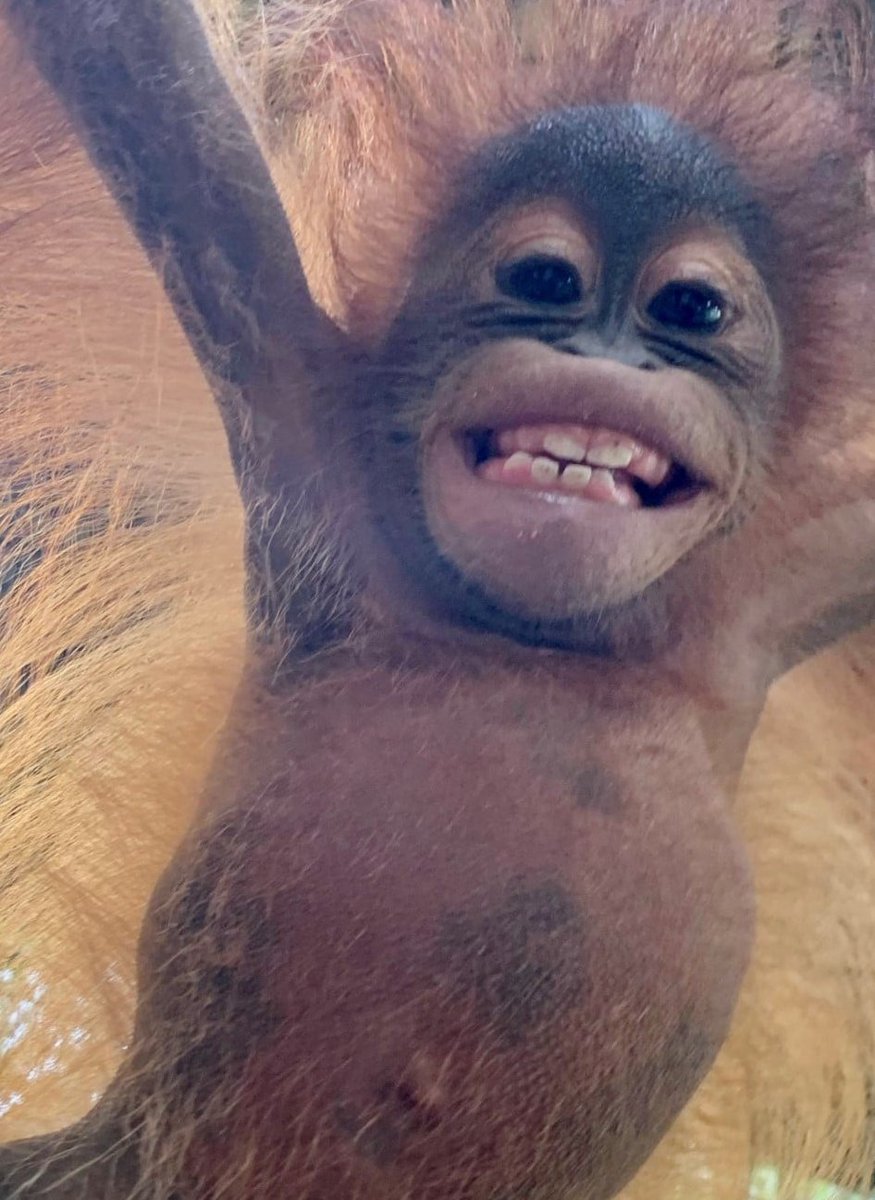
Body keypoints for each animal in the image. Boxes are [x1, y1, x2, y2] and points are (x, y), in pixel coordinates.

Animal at [0, 0, 873, 1198]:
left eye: (689, 309)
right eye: (546, 282)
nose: (605, 360)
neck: (540, 635)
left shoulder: (778, 585)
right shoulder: (297, 419)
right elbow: (134, 79)